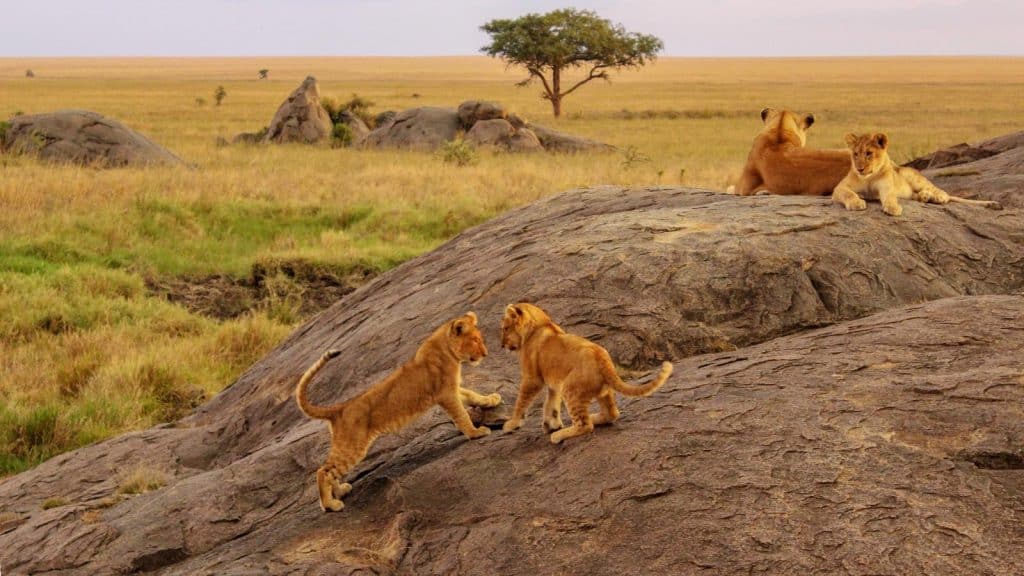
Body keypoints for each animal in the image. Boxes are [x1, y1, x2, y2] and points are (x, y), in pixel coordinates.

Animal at [296, 312, 501, 512]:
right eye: (475, 340)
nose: (486, 353)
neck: (446, 348)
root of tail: (339, 409)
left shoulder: (453, 390)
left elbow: (473, 395)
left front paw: (492, 399)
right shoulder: (446, 394)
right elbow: (462, 415)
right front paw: (476, 432)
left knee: (331, 472)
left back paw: (340, 492)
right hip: (353, 447)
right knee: (323, 472)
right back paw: (330, 504)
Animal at [499, 303, 673, 444]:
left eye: (505, 328)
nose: (502, 346)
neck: (541, 323)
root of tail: (602, 357)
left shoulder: (532, 379)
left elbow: (521, 401)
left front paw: (512, 424)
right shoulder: (554, 381)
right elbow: (551, 403)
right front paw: (551, 425)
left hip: (570, 389)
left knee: (585, 425)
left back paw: (560, 435)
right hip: (602, 391)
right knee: (612, 413)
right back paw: (594, 417)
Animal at [832, 132, 1003, 217]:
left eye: (869, 153)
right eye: (855, 154)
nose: (860, 169)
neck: (870, 177)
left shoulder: (887, 188)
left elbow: (890, 197)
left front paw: (893, 208)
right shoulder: (839, 188)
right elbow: (848, 193)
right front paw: (856, 203)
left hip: (911, 175)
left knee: (944, 193)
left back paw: (937, 197)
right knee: (917, 195)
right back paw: (924, 197)